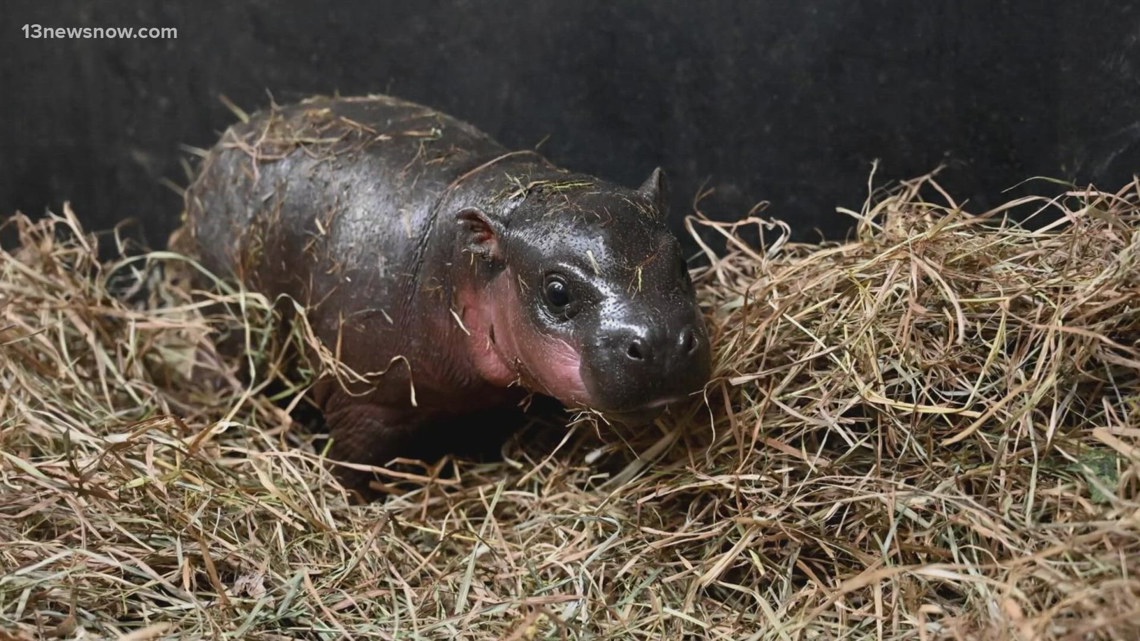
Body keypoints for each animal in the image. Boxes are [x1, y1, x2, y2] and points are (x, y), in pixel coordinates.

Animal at [178, 94, 712, 498]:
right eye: (557, 292)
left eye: (681, 261)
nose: (663, 342)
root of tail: (230, 140)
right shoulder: (364, 401)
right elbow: (354, 464)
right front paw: (358, 502)